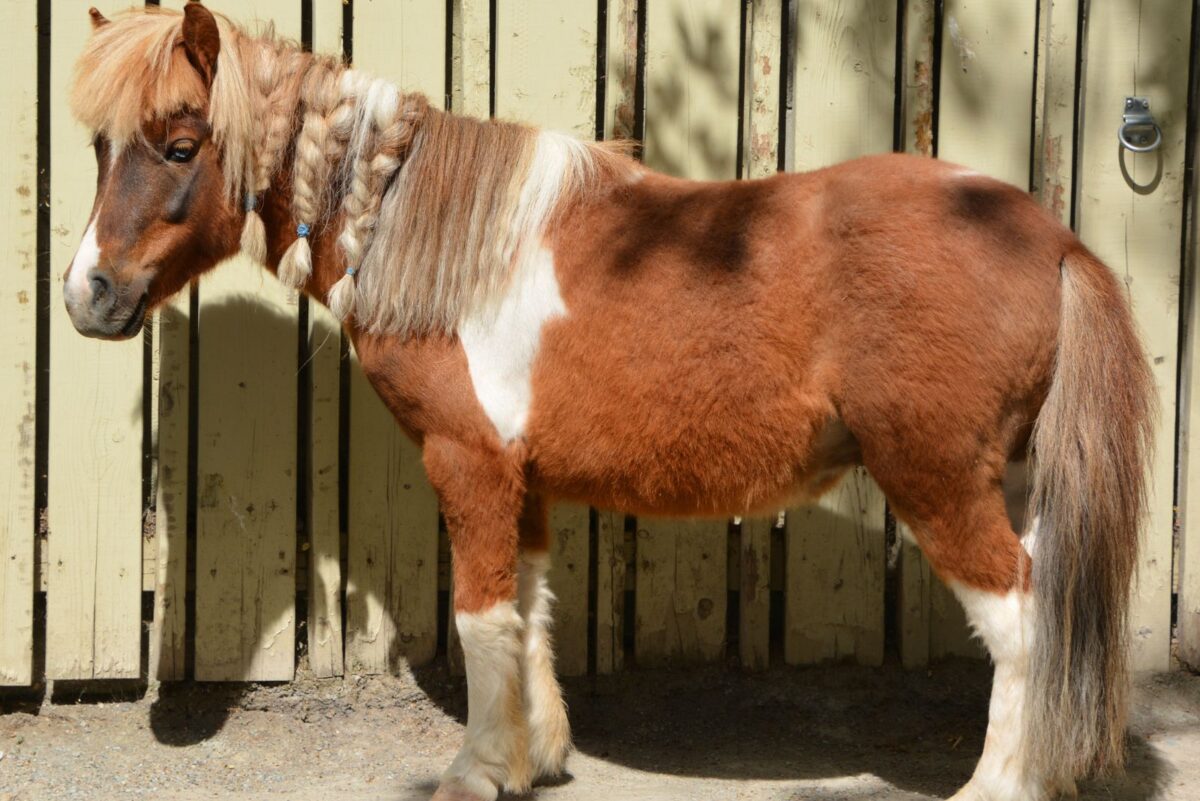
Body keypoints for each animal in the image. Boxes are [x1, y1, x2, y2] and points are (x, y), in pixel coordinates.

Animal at [64, 4, 1155, 800]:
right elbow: (528, 613)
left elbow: (479, 619)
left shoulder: (468, 464)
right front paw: (536, 757)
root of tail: (1055, 240)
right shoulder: (525, 482)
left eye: (180, 146)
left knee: (1023, 626)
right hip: (1017, 483)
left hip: (940, 483)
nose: (88, 295)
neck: (441, 242)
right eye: (100, 147)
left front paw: (475, 773)